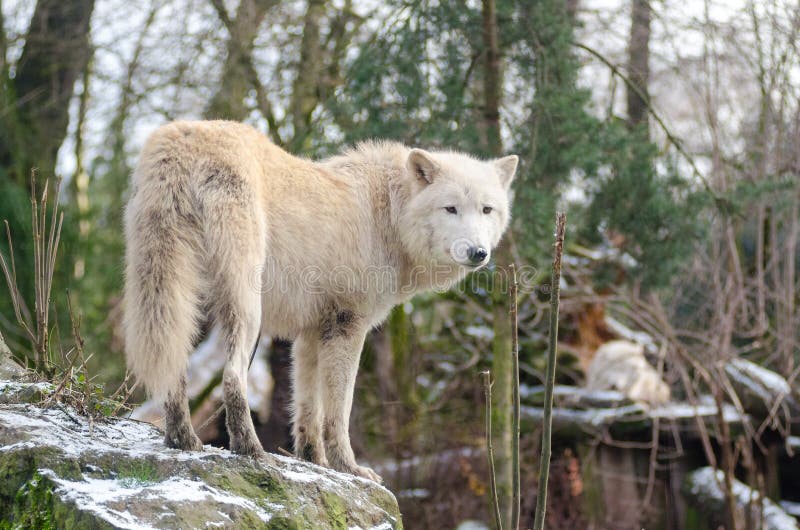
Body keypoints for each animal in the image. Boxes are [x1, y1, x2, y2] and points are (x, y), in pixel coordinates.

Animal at [123, 120, 517, 482]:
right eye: (450, 209)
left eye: (487, 210)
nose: (478, 252)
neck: (390, 215)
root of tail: (186, 137)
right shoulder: (348, 326)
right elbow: (338, 412)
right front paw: (349, 467)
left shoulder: (311, 333)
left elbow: (307, 408)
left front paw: (314, 461)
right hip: (247, 312)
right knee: (232, 378)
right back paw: (250, 451)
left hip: (178, 304)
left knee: (173, 371)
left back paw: (183, 441)